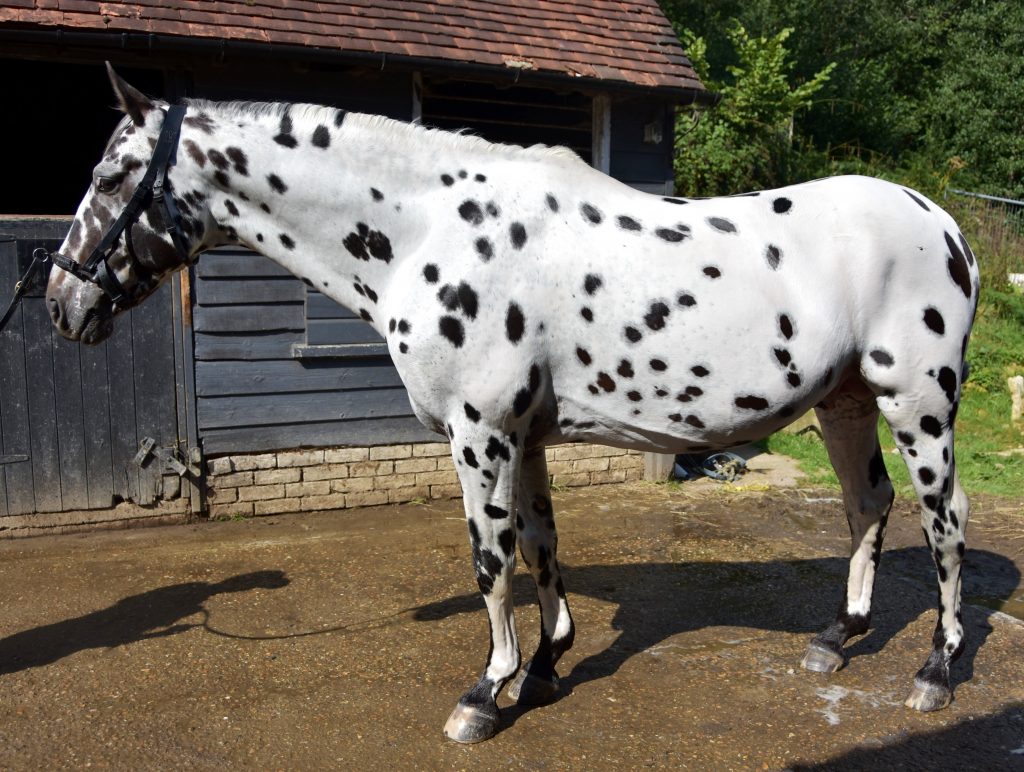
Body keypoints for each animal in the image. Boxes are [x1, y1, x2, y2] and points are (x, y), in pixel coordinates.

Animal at [44, 66, 980, 743]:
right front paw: (544, 670)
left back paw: (935, 672)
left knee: (945, 521)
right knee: (867, 503)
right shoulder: (524, 437)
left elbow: (489, 560)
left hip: (918, 404)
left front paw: (485, 693)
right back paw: (835, 640)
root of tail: (945, 224)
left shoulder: (481, 433)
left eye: (112, 174)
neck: (431, 229)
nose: (60, 303)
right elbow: (538, 547)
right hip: (848, 401)